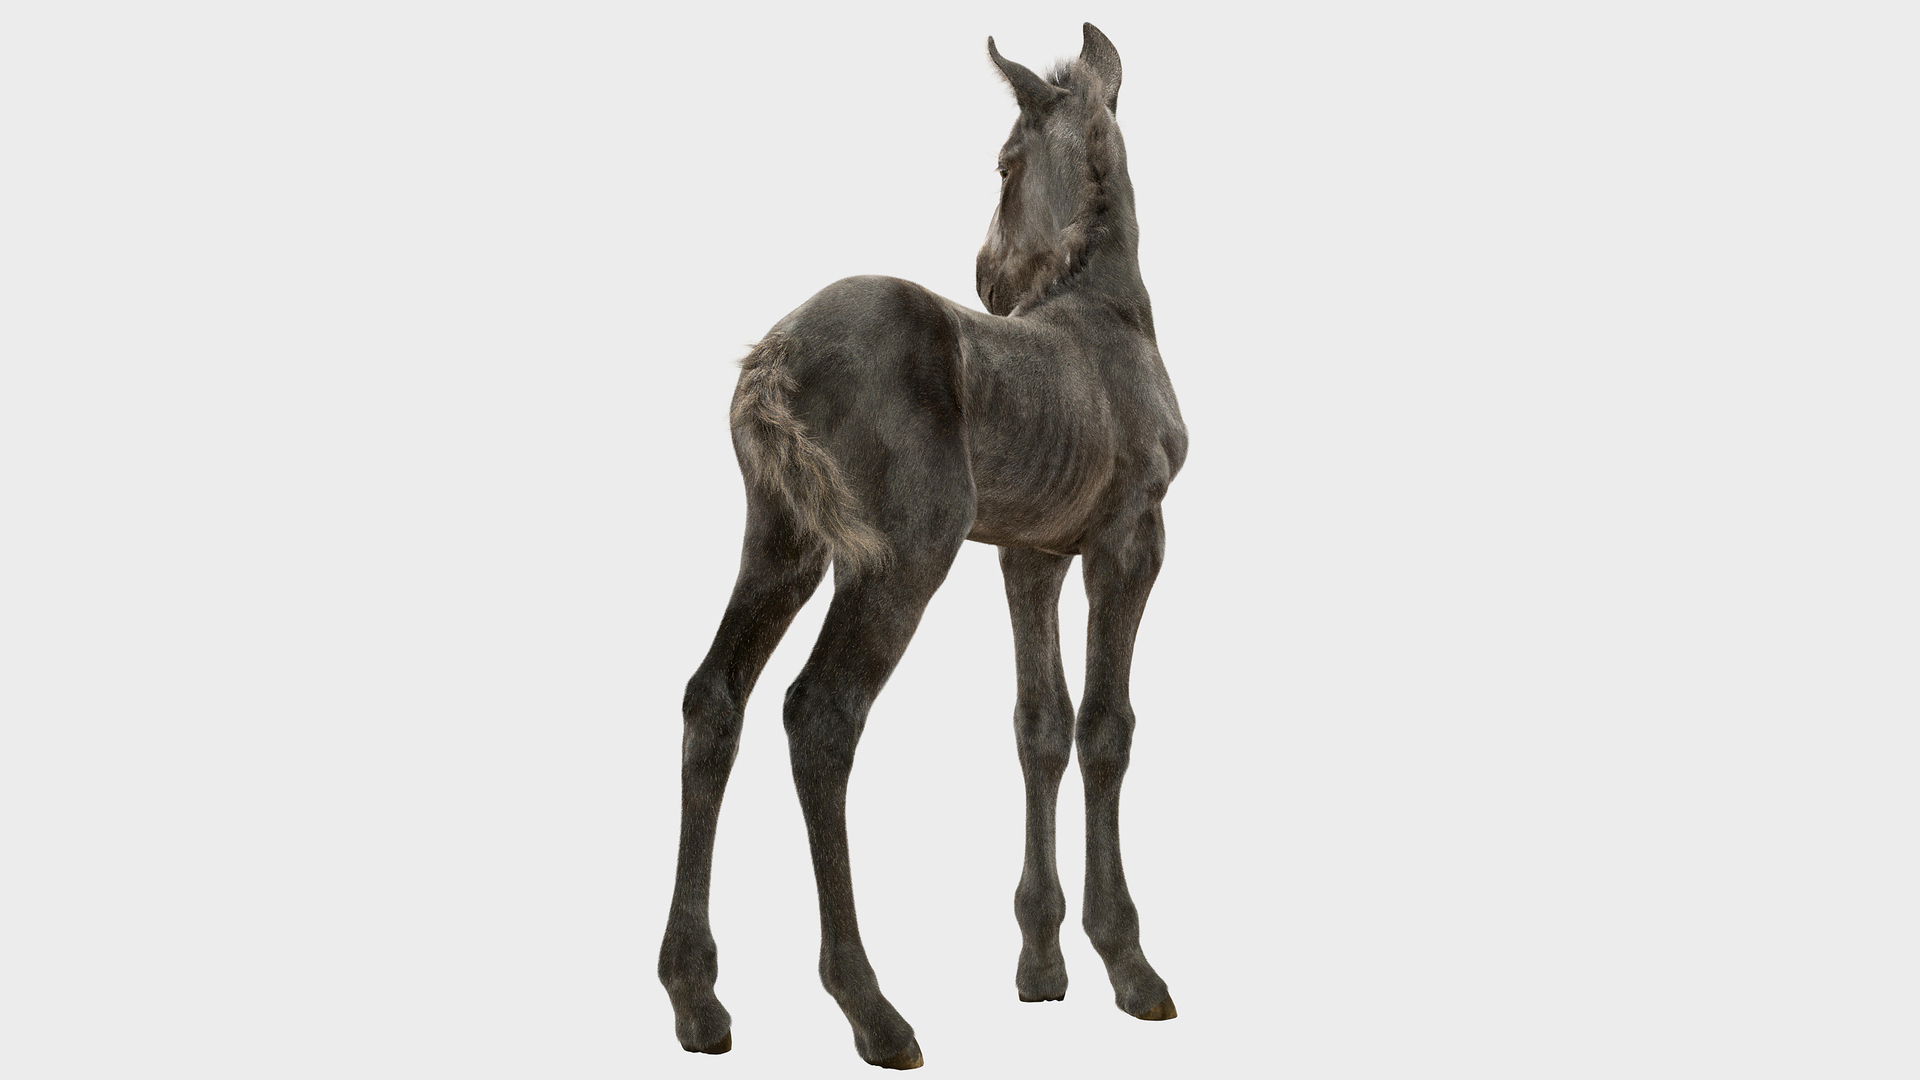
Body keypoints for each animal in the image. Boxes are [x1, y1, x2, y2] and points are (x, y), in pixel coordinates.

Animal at [658, 24, 1187, 1069]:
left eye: (1003, 164)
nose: (986, 277)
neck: (1106, 310)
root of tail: (774, 358)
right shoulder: (1130, 537)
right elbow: (1106, 728)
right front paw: (1129, 967)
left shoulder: (1031, 552)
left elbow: (1041, 725)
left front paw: (1042, 966)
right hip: (901, 554)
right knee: (819, 715)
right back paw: (872, 1009)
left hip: (784, 539)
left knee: (714, 698)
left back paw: (697, 999)